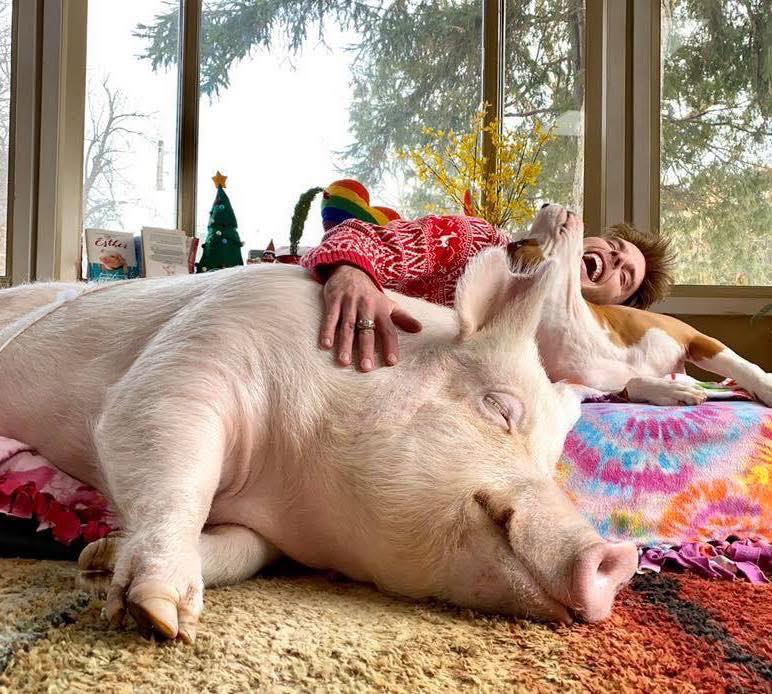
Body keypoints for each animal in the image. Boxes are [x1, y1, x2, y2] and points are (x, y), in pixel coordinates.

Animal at [0, 231, 637, 643]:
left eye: (553, 460)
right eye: (501, 410)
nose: (619, 557)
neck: (288, 484)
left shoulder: (267, 532)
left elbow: (243, 552)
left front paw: (98, 558)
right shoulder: (195, 355)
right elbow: (168, 450)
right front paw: (160, 619)